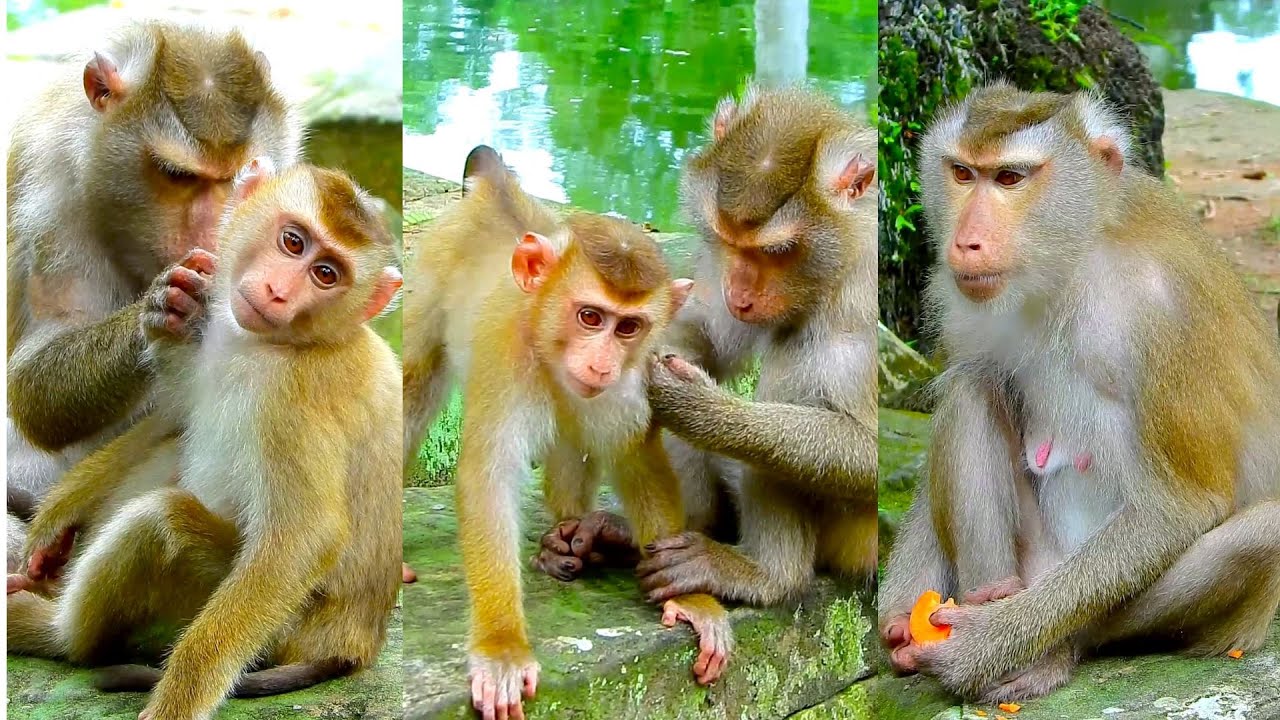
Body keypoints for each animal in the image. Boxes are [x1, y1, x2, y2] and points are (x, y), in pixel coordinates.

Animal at [5, 21, 301, 564]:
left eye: (235, 177)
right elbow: (32, 388)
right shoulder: (49, 194)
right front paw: (164, 305)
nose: (212, 236)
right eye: (178, 175)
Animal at [7, 159, 403, 720]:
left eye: (326, 275)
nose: (279, 292)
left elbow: (302, 540)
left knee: (160, 524)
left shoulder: (299, 396)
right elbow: (171, 418)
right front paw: (54, 521)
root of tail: (352, 643)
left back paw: (54, 633)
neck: (268, 343)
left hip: (267, 626)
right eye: (293, 242)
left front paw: (175, 704)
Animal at [401, 144, 732, 720]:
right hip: (428, 282)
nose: (601, 363)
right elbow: (489, 478)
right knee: (415, 386)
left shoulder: (633, 380)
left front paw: (688, 593)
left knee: (575, 438)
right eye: (590, 316)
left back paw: (572, 539)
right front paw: (502, 647)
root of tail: (495, 194)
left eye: (628, 327)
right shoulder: (504, 355)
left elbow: (635, 458)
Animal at [536, 85, 880, 609]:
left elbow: (866, 449)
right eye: (727, 241)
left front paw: (702, 409)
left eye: (777, 251)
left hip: (853, 543)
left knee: (792, 367)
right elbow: (703, 333)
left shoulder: (858, 307)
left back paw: (766, 574)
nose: (739, 293)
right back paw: (656, 529)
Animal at [877, 83, 1280, 703]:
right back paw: (991, 597)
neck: (1073, 261)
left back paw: (1044, 651)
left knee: (1262, 534)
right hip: (1036, 562)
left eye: (1010, 178)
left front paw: (980, 647)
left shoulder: (1165, 314)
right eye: (963, 173)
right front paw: (901, 612)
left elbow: (1178, 506)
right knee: (972, 386)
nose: (966, 242)